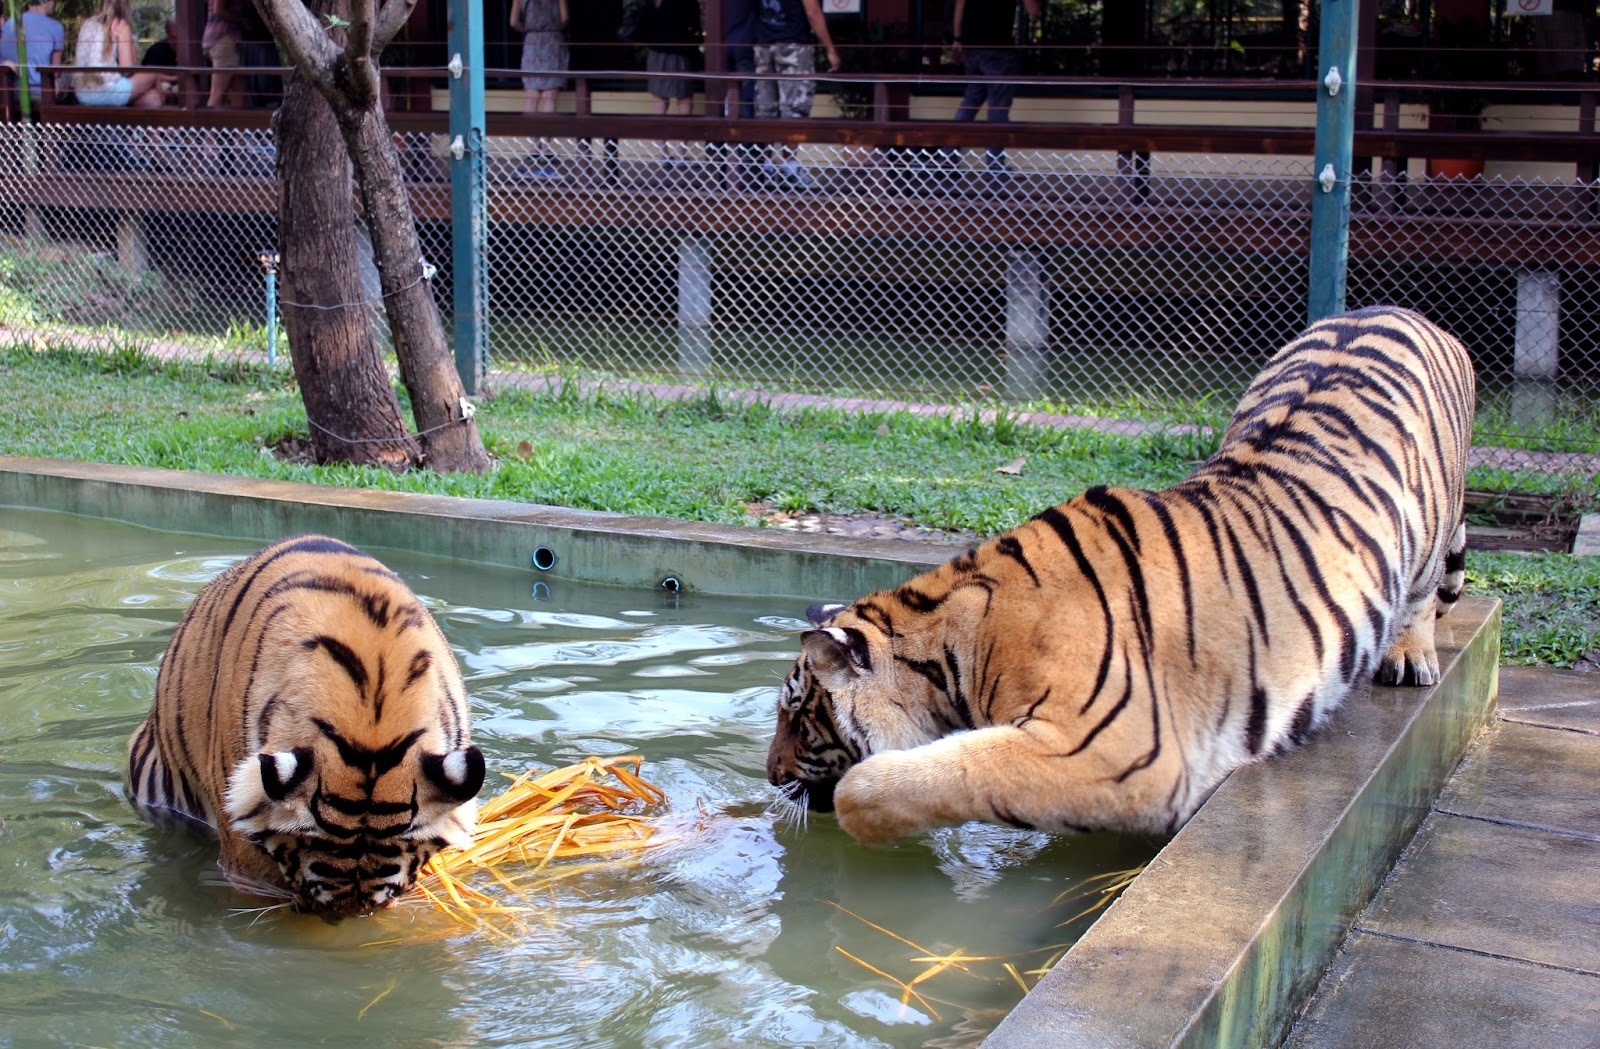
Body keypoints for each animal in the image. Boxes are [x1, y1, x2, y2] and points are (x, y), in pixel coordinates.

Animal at [767, 305, 1474, 846]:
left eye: (799, 713)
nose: (770, 777)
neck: (956, 644)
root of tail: (1399, 311)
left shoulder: (1116, 755)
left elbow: (914, 778)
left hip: (1431, 529)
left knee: (1420, 596)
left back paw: (1409, 657)